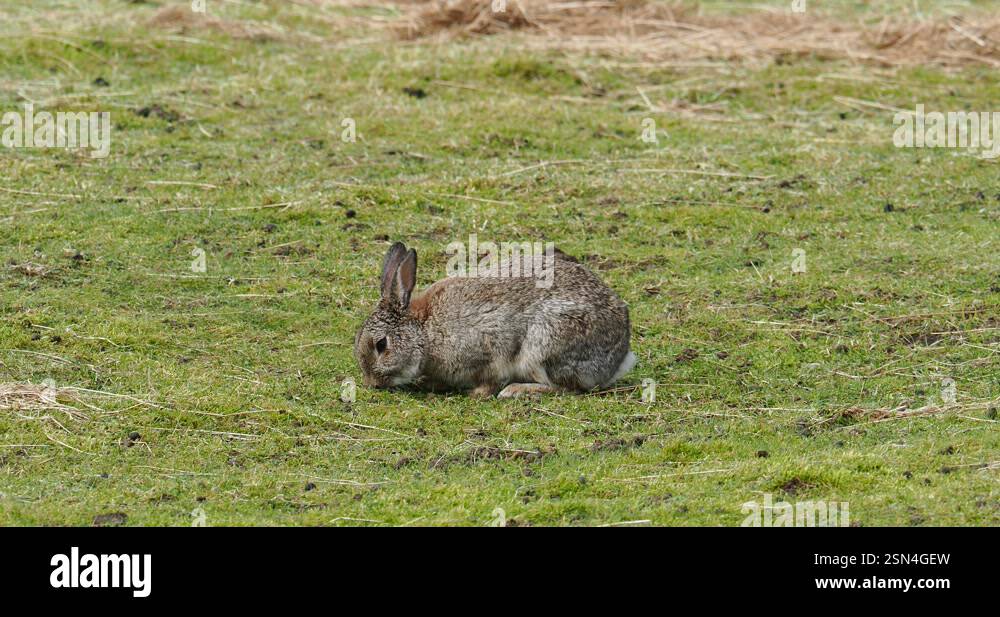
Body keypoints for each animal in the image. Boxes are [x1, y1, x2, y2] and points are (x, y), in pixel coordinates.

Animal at [354, 241, 636, 398]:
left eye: (381, 345)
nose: (372, 384)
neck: (424, 331)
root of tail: (619, 358)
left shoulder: (487, 348)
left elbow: (491, 378)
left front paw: (476, 393)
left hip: (546, 344)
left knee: (567, 387)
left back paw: (517, 391)